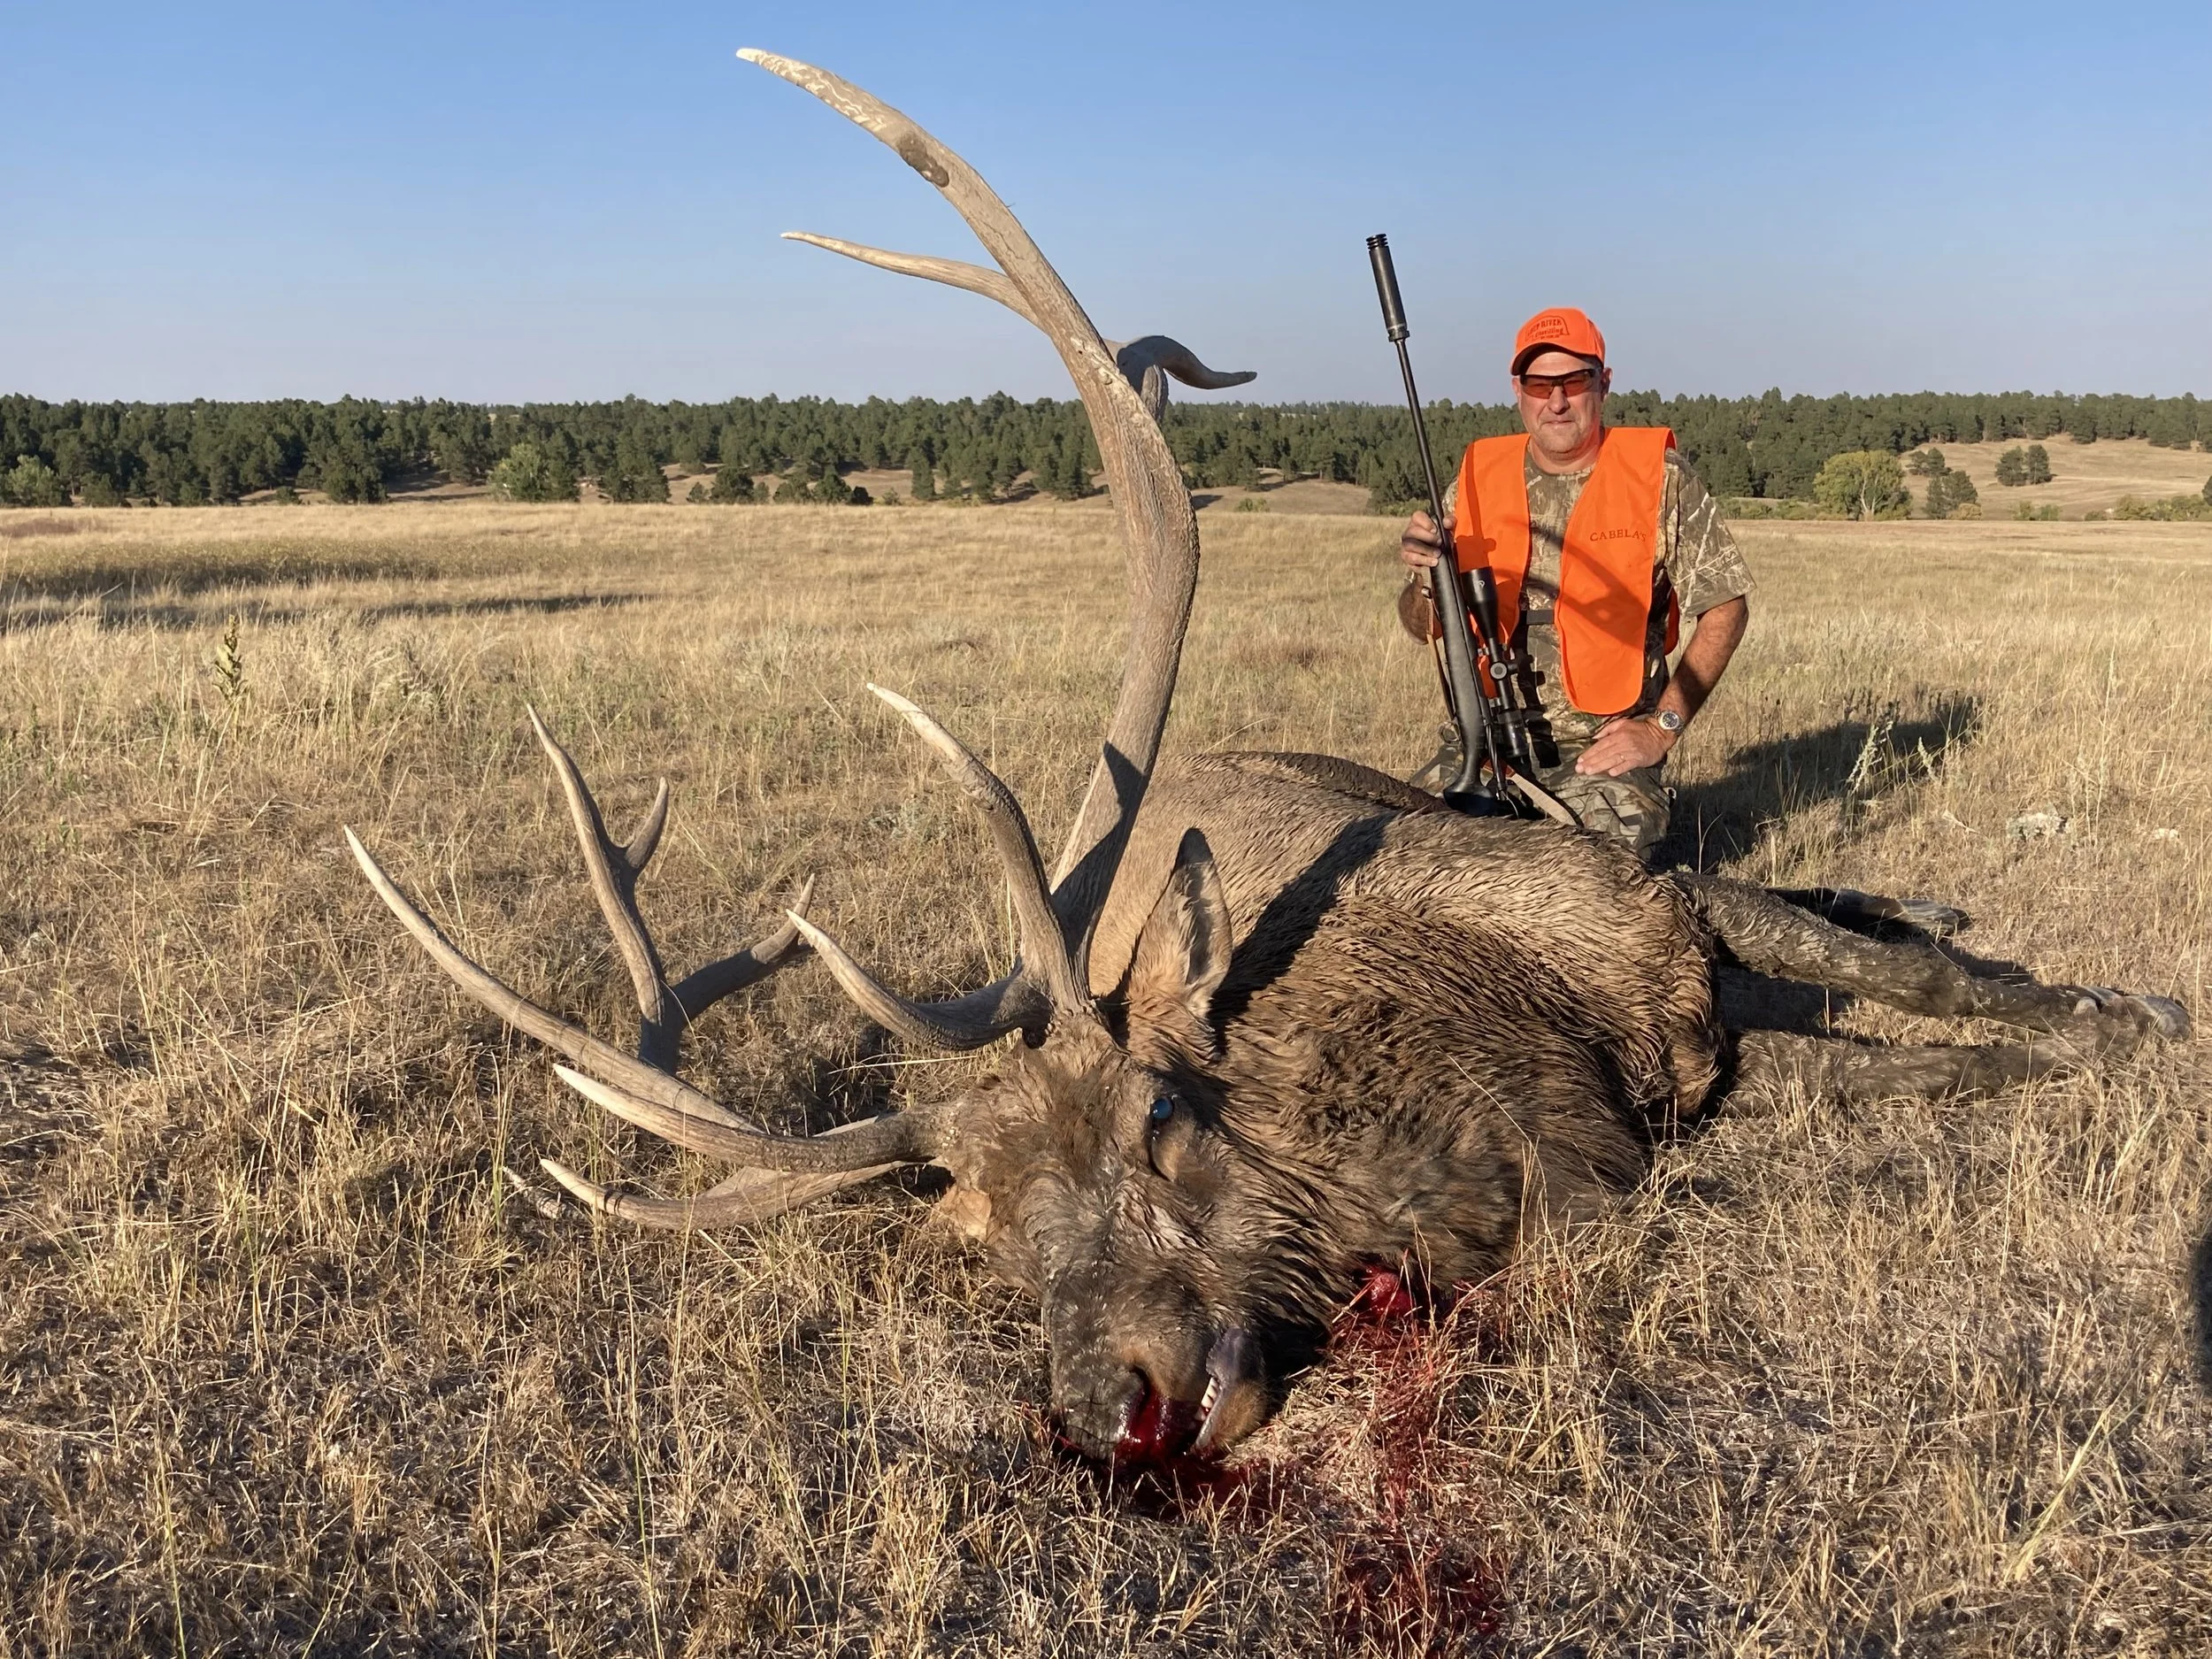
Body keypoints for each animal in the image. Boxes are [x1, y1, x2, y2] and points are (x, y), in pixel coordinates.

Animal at [347, 51, 2190, 1466]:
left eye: (1161, 1115)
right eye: (982, 1229)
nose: (1112, 1406)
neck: (1483, 1105)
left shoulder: (1651, 923)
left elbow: (1942, 1006)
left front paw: (2131, 1011)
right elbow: (1878, 1062)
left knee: (1857, 917)